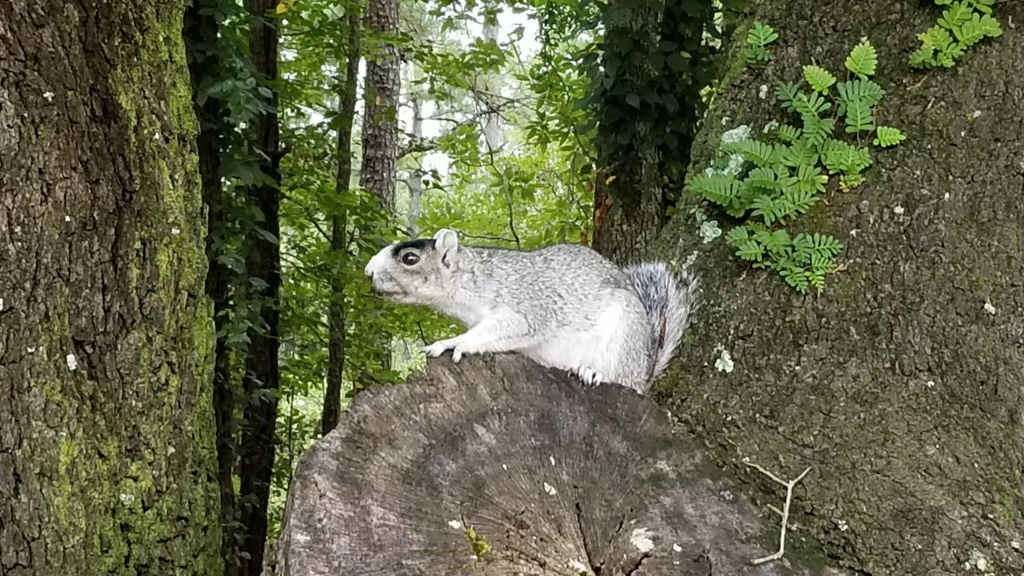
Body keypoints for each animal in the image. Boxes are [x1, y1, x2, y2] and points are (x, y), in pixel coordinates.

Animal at [363, 229, 698, 394]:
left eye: (410, 258)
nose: (368, 272)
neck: (473, 277)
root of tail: (644, 372)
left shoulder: (526, 304)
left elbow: (510, 327)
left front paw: (452, 343)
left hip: (624, 340)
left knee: (622, 379)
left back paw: (593, 372)